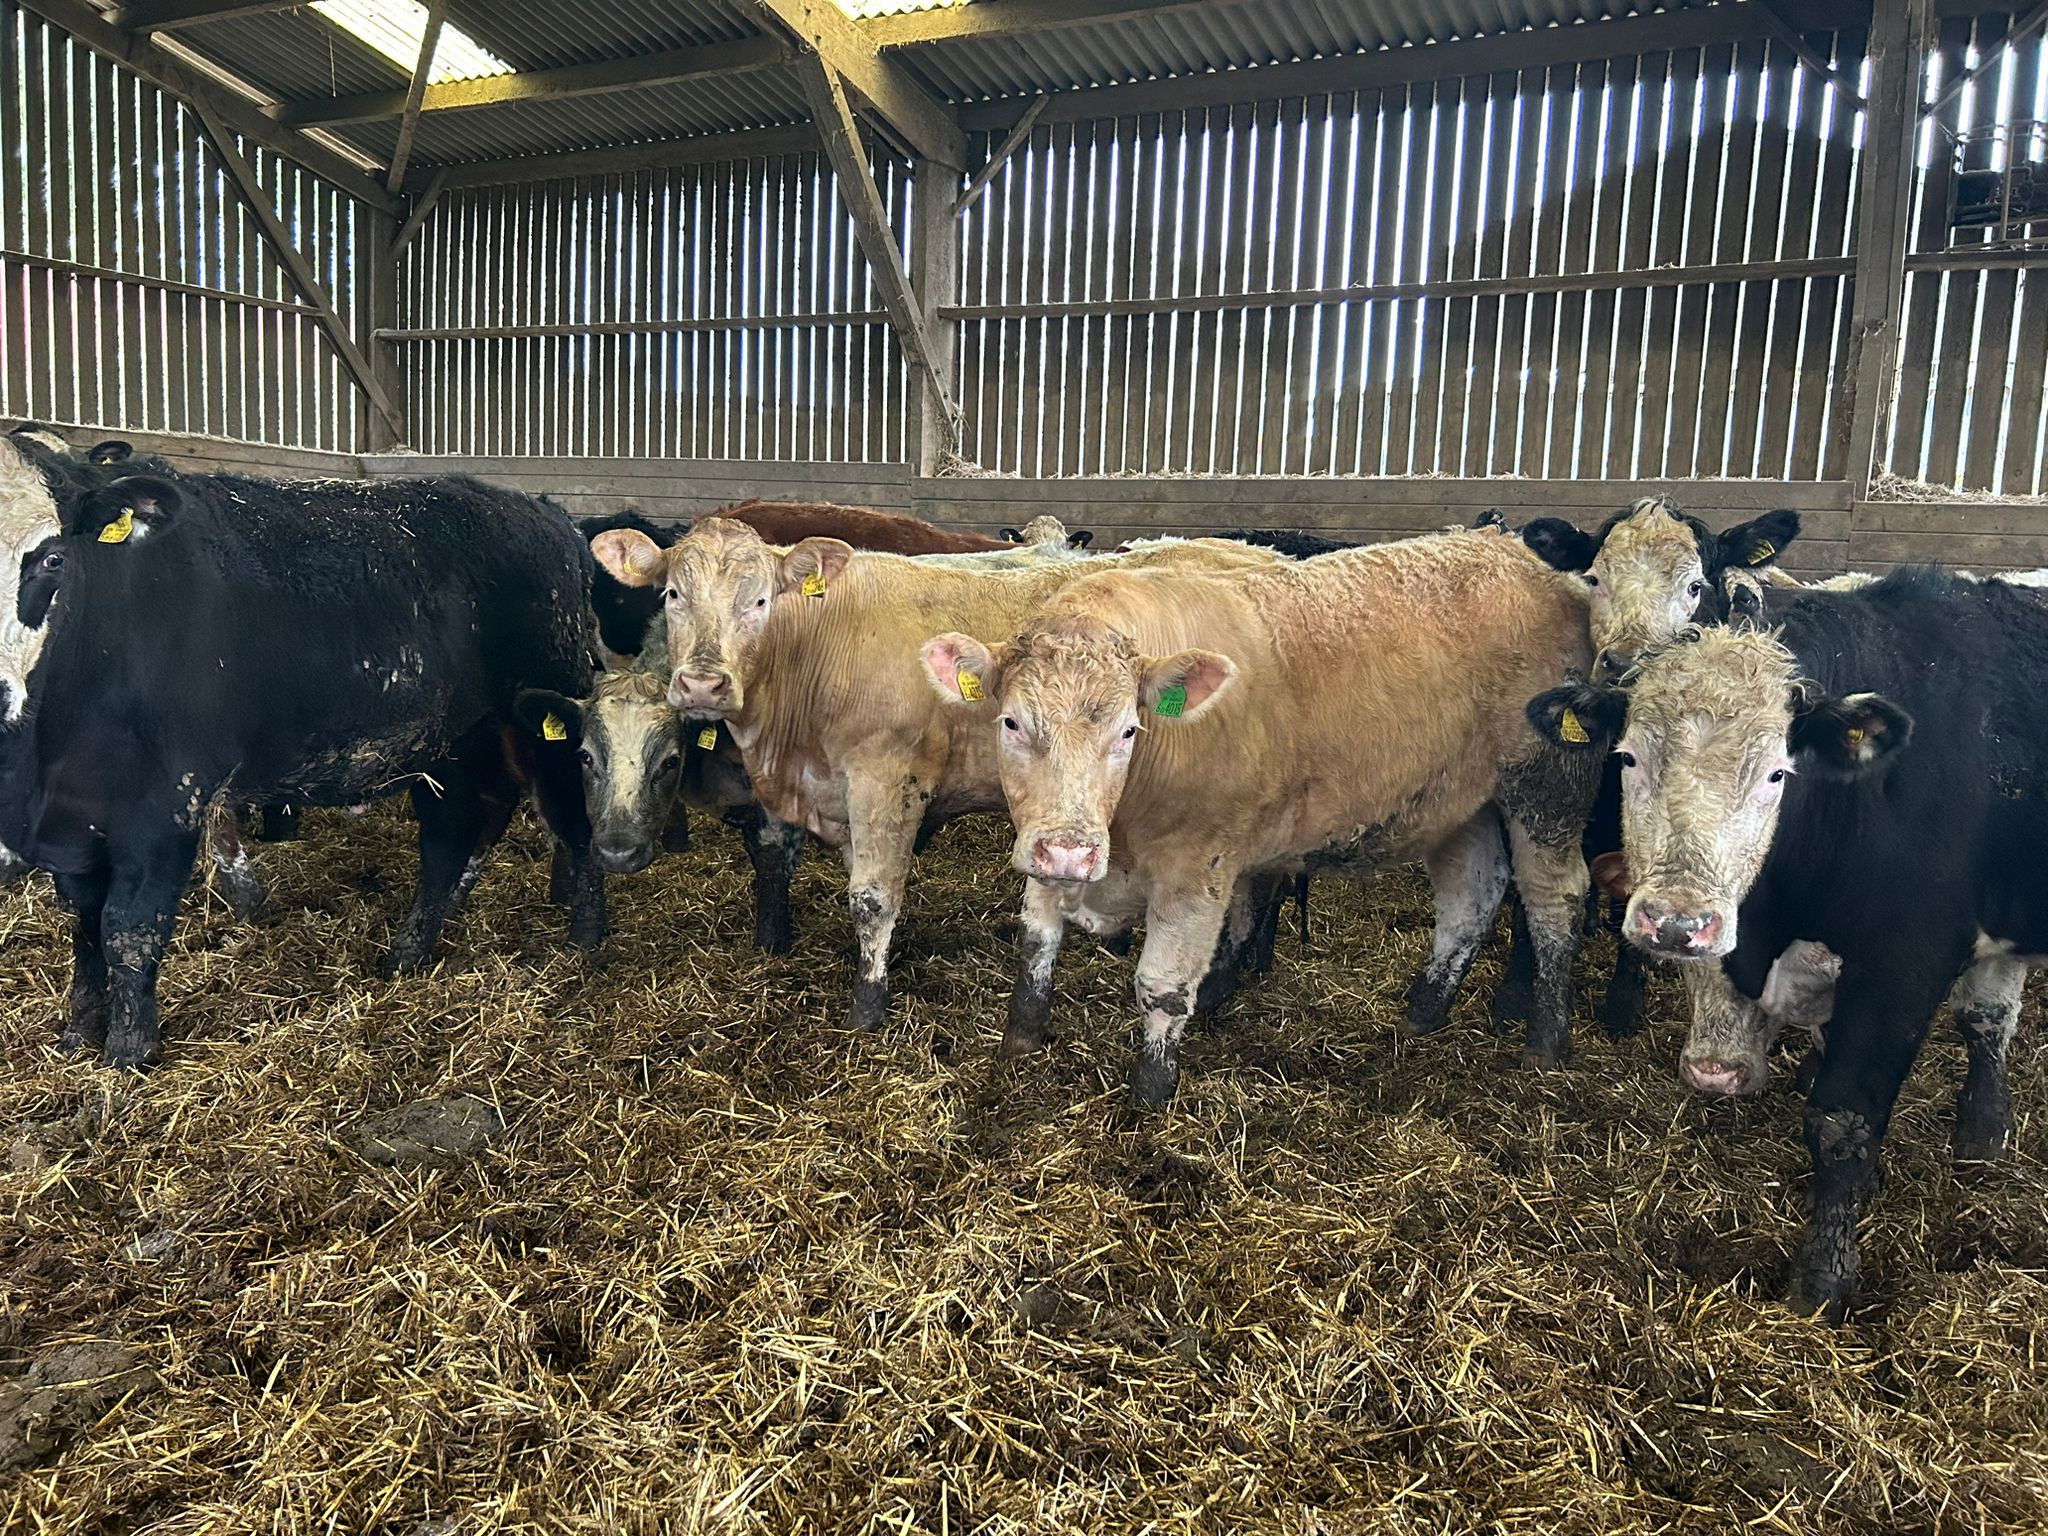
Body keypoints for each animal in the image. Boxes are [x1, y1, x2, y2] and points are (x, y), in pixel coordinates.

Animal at [0, 440, 602, 1068]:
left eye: (51, 559)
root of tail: (541, 511)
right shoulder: (76, 825)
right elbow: (85, 925)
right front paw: (79, 1032)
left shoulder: (167, 804)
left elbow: (129, 928)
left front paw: (128, 1051)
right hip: (459, 738)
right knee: (456, 830)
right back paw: (413, 949)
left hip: (546, 707)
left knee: (568, 815)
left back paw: (585, 939)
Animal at [919, 526, 1603, 1103]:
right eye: (1011, 722)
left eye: (1128, 730)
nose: (1072, 850)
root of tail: (1522, 558)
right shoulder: (1043, 841)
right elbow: (1036, 945)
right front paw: (1021, 1042)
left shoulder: (1199, 866)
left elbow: (1163, 984)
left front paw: (1151, 1095)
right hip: (1460, 803)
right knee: (1471, 896)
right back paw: (1422, 1013)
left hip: (1548, 786)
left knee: (1555, 899)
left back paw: (1546, 1043)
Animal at [1527, 568, 2048, 1315]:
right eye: (1626, 757)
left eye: (1777, 773)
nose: (1678, 922)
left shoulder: (1900, 971)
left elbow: (1842, 1123)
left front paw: (1824, 1278)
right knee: (1989, 1018)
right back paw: (1981, 1134)